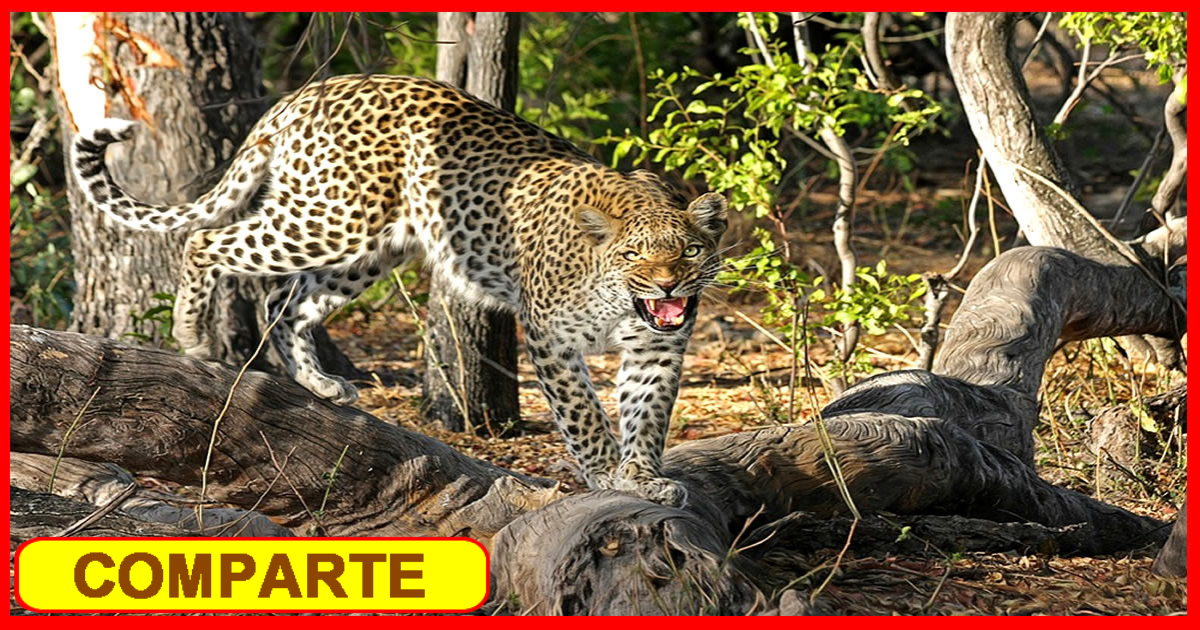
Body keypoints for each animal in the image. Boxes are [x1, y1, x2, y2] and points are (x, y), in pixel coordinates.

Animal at [70, 74, 728, 506]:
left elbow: (648, 415)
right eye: (634, 255)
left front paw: (643, 476)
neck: (621, 299)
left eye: (691, 251)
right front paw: (607, 475)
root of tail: (303, 94)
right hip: (330, 219)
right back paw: (192, 334)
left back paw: (321, 384)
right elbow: (586, 416)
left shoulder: (658, 350)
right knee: (207, 241)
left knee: (284, 301)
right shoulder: (550, 338)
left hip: (370, 248)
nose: (668, 282)